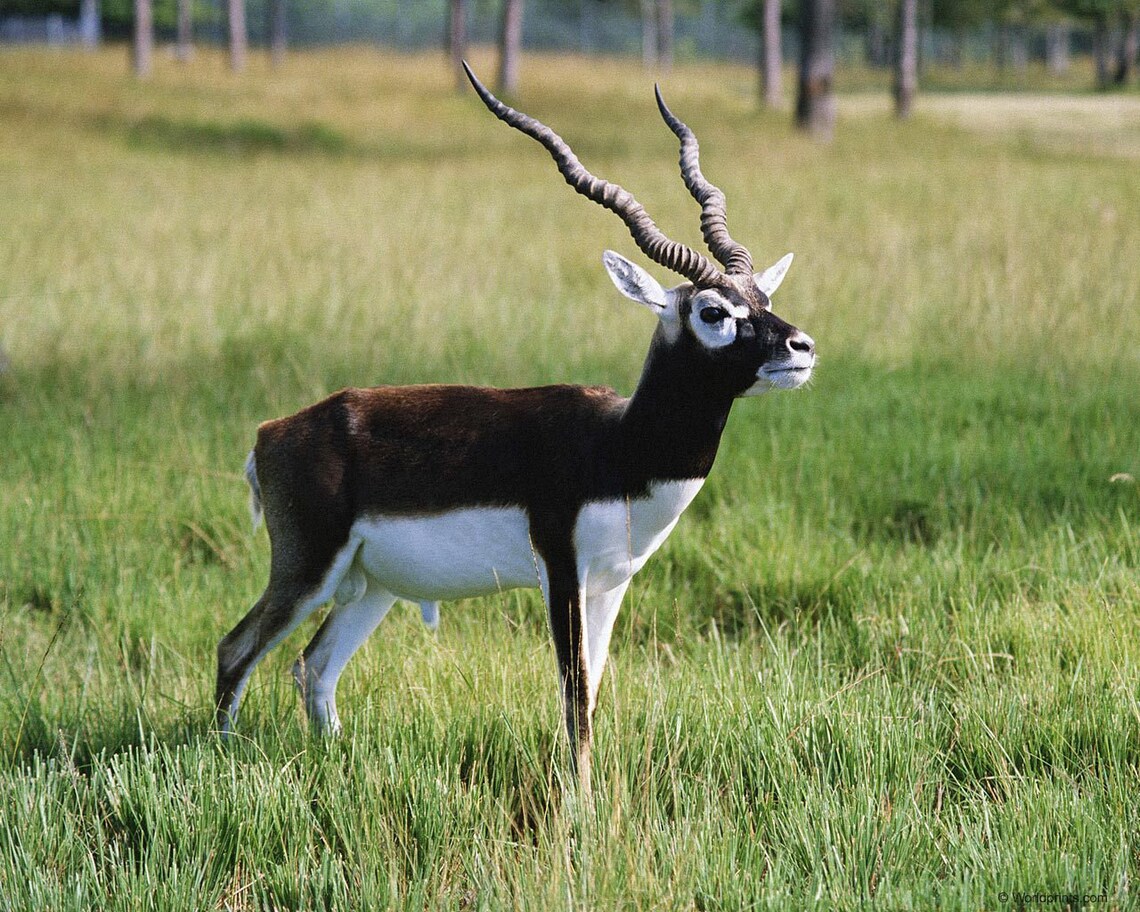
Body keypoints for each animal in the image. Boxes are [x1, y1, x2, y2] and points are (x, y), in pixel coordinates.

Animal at [214, 65, 815, 792]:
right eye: (713, 311)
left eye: (765, 298)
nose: (802, 348)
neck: (617, 446)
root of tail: (273, 432)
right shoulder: (561, 570)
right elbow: (574, 693)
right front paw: (582, 805)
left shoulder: (611, 584)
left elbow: (595, 691)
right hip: (307, 567)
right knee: (235, 651)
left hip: (370, 584)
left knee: (314, 666)